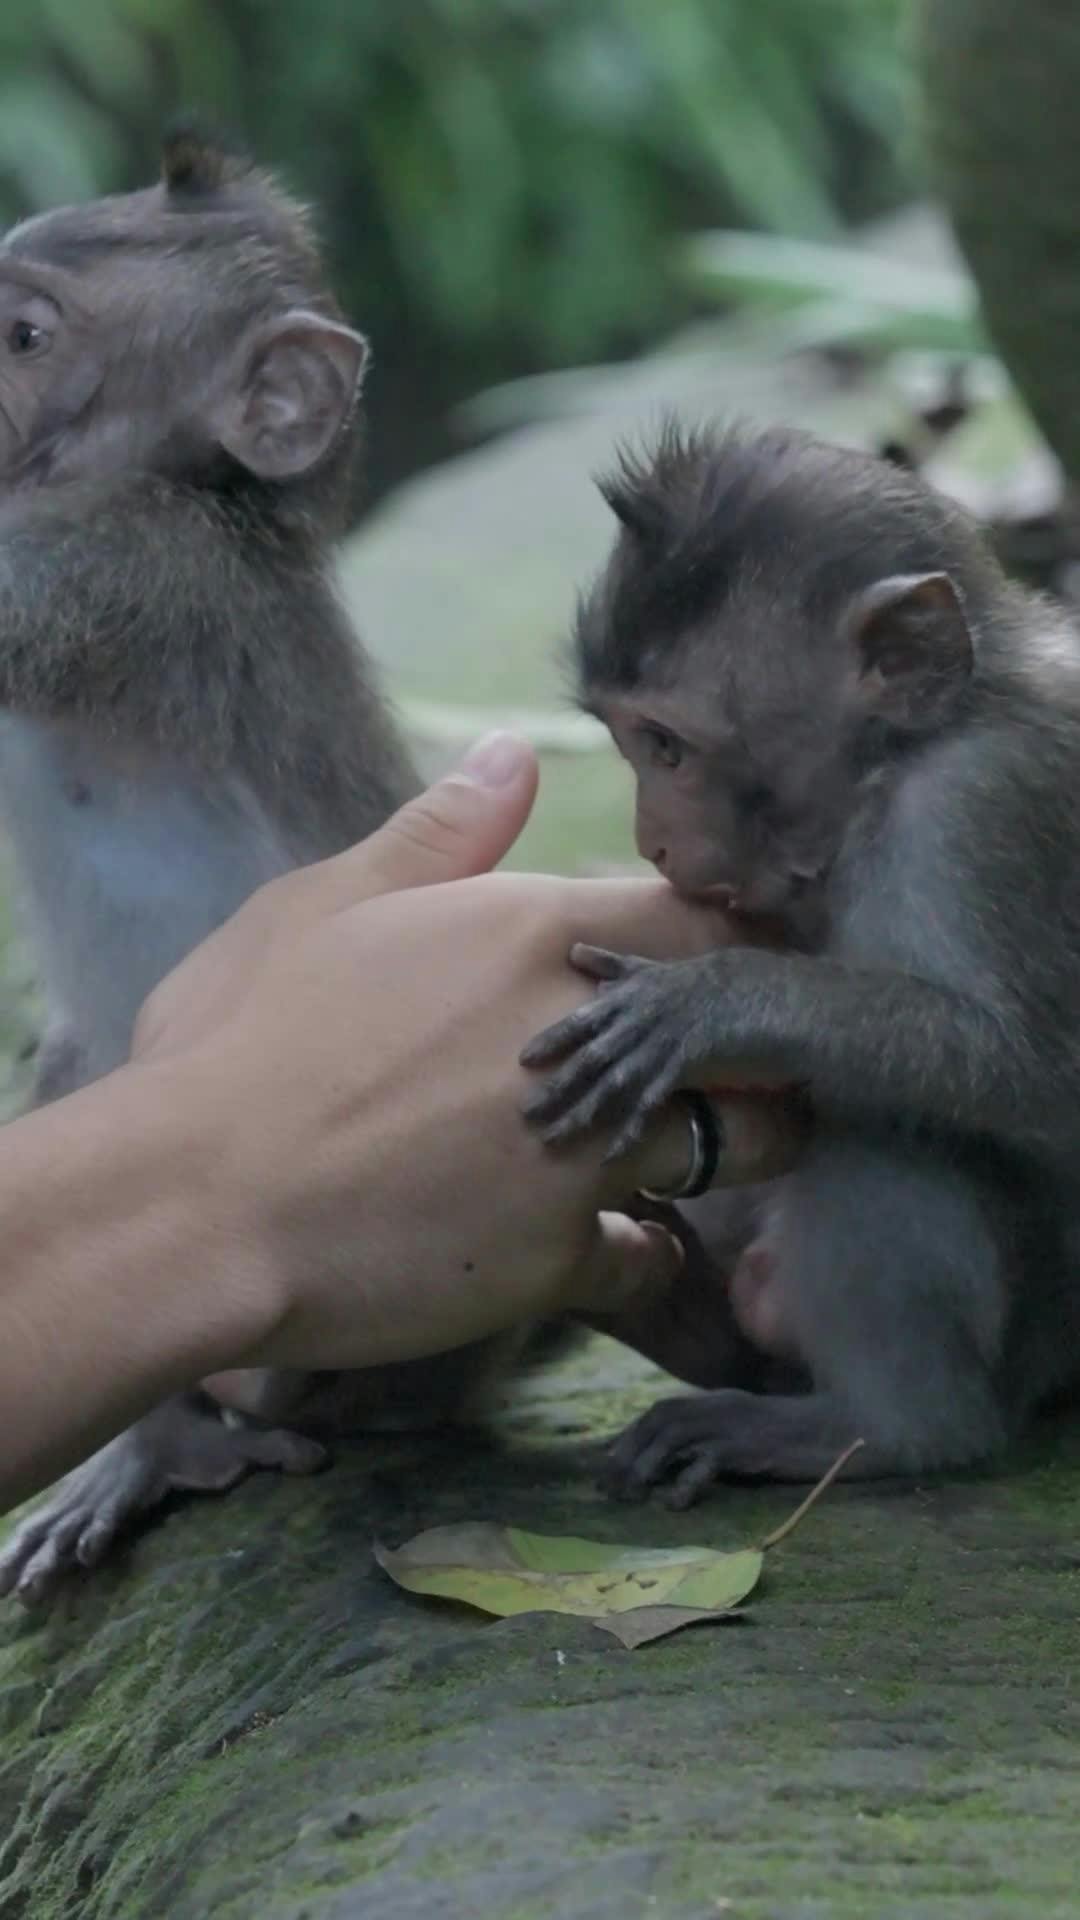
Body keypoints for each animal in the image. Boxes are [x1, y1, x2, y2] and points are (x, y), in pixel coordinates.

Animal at [520, 418, 1080, 1502]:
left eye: (668, 747)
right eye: (624, 741)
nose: (652, 842)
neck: (901, 761)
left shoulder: (978, 810)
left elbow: (1034, 1075)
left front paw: (718, 1002)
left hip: (1031, 1341)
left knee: (877, 1128)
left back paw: (884, 1431)